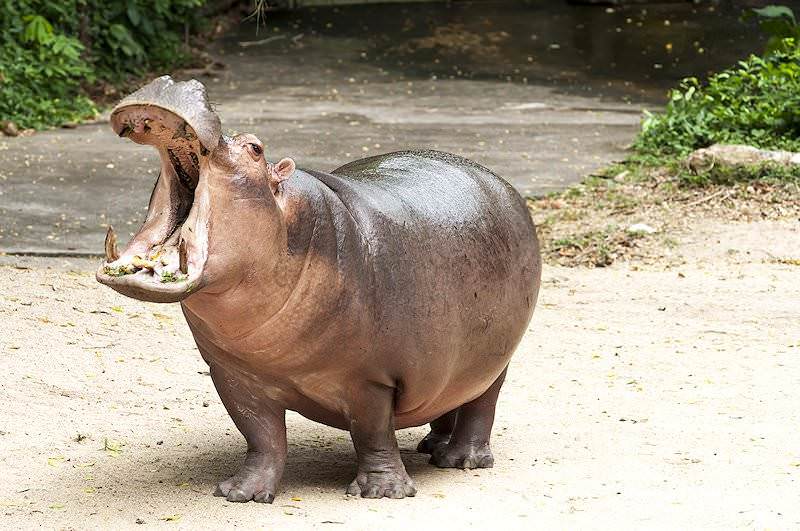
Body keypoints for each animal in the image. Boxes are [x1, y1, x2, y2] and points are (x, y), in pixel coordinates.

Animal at [96, 76, 541, 503]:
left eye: (255, 148)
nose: (177, 83)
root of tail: (500, 180)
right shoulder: (234, 376)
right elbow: (262, 437)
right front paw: (240, 492)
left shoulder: (369, 379)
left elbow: (373, 434)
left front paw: (382, 492)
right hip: (449, 361)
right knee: (448, 397)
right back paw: (433, 446)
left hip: (495, 360)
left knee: (482, 406)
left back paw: (461, 459)